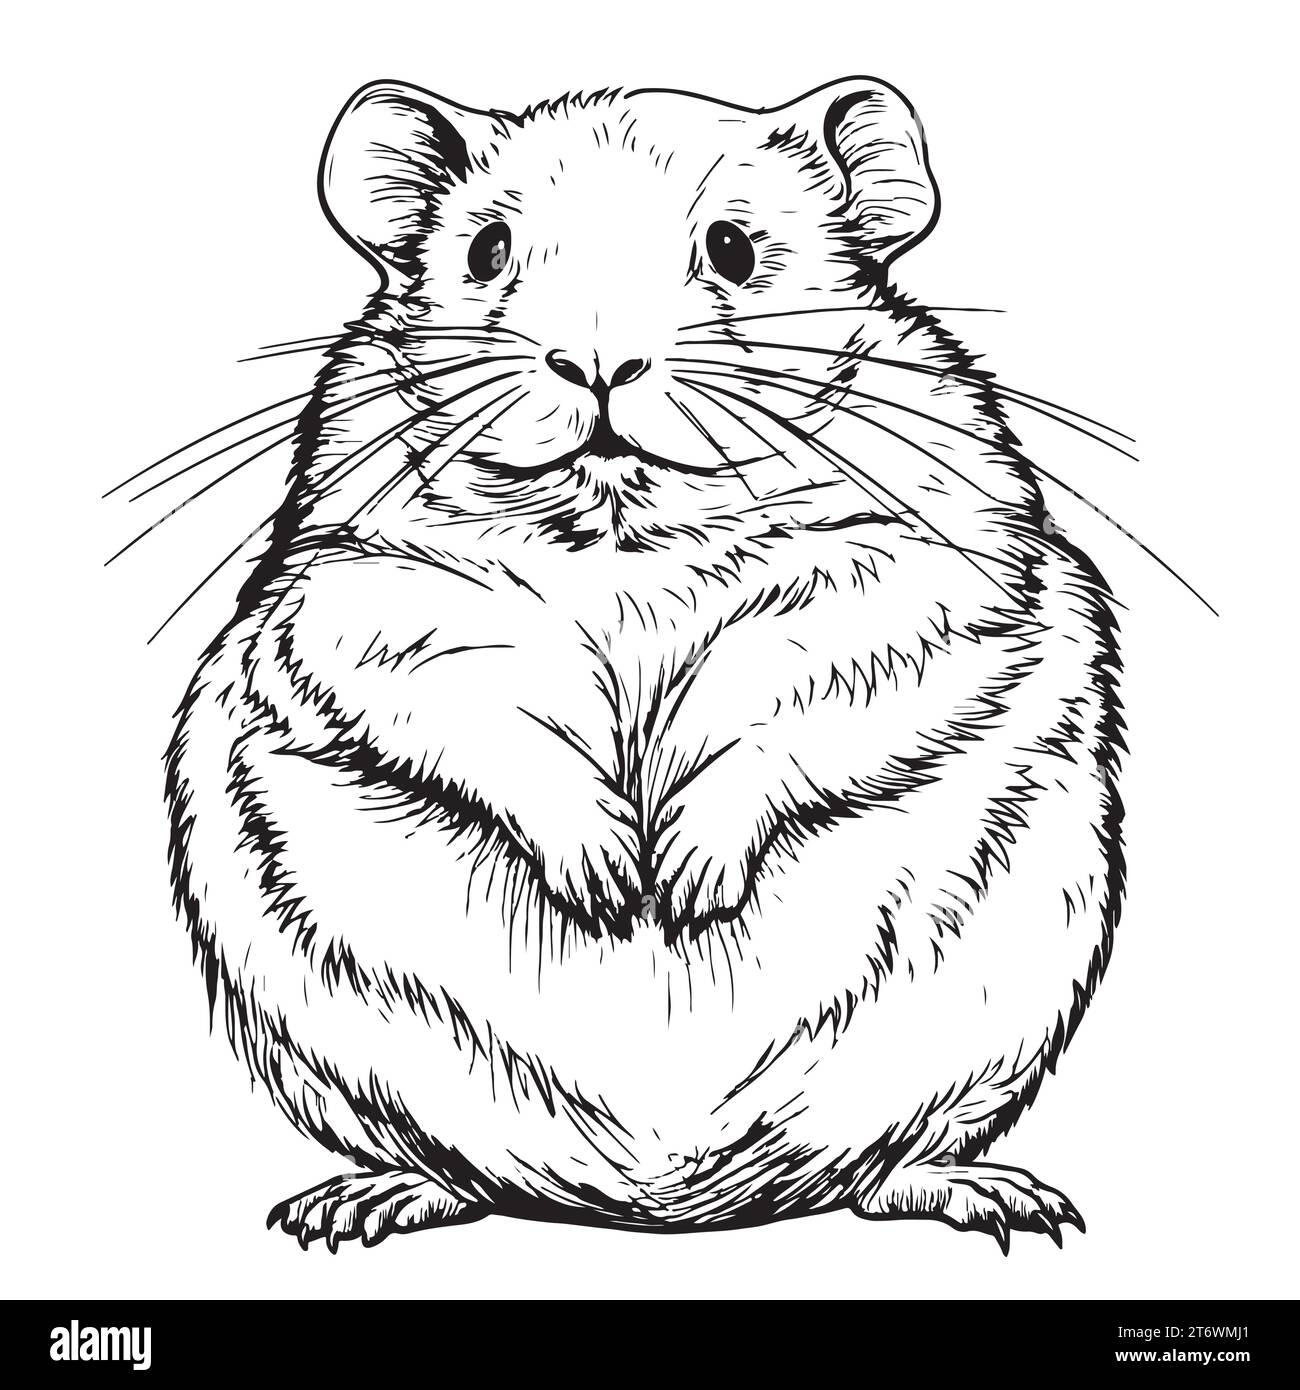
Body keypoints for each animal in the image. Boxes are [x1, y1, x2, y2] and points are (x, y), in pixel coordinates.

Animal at [165, 77, 1123, 1248]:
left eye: (732, 247)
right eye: (487, 249)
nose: (595, 365)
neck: (623, 530)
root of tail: (658, 1193)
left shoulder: (917, 572)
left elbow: (805, 691)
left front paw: (687, 882)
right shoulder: (364, 587)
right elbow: (464, 699)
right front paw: (610, 878)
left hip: (999, 1000)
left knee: (884, 1163)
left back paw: (991, 1195)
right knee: (451, 1162)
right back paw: (362, 1201)